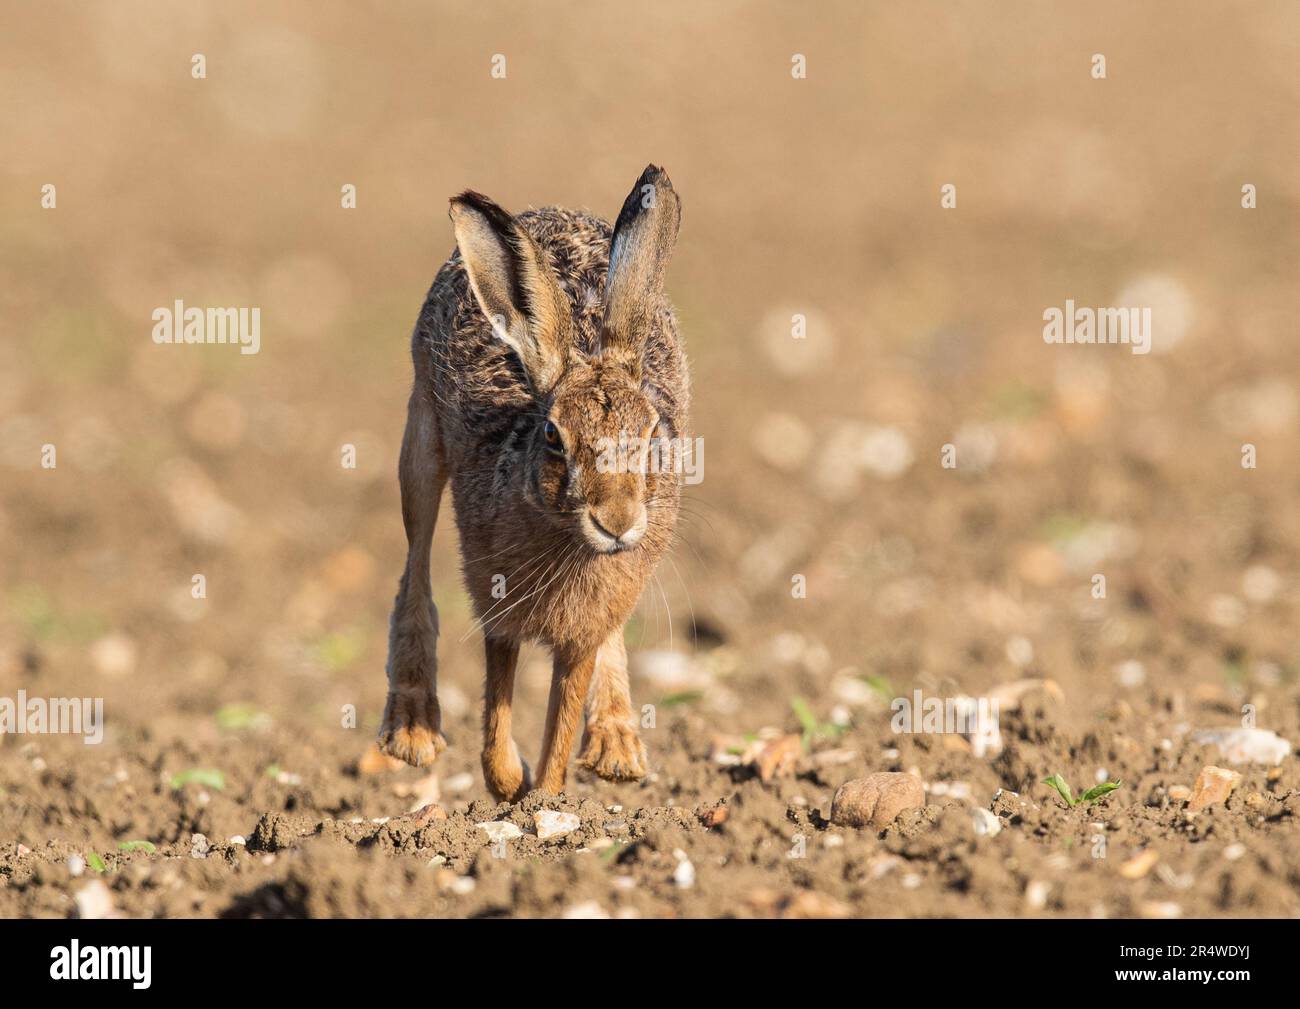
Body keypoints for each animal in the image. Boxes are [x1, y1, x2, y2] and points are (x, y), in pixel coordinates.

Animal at [377, 165, 689, 801]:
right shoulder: (498, 608)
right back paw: (412, 729)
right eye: (552, 435)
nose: (618, 522)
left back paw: (617, 747)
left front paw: (544, 796)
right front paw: (508, 784)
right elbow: (497, 711)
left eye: (651, 432)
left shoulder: (583, 635)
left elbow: (562, 722)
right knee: (415, 563)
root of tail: (551, 211)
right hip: (420, 443)